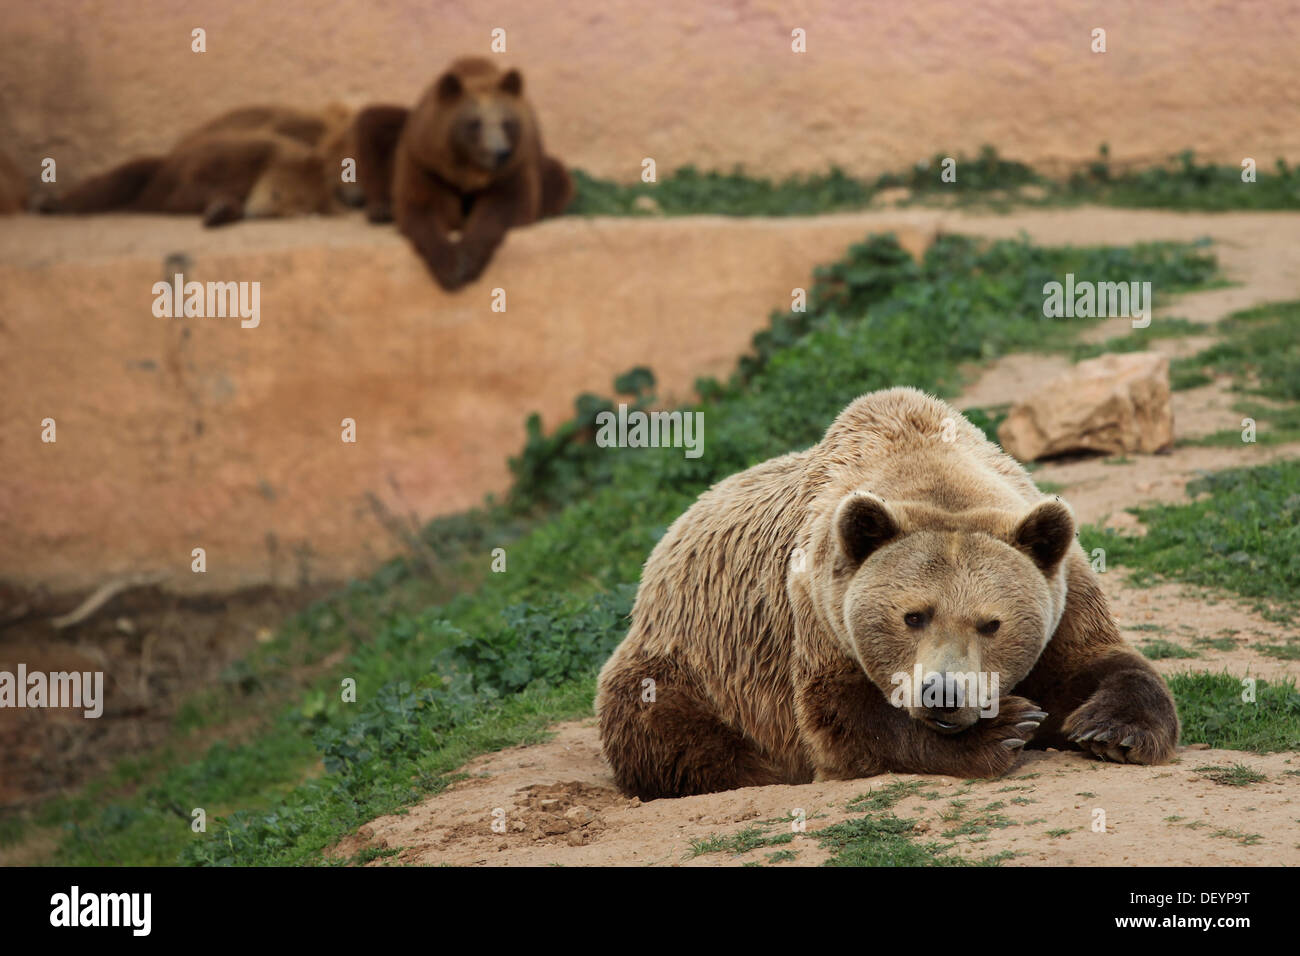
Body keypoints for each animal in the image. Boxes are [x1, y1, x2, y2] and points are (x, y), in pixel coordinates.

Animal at [390, 56, 573, 291]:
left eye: (506, 122)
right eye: (474, 123)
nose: (501, 152)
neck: (470, 171)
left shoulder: (513, 169)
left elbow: (505, 207)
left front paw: (467, 262)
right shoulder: (427, 165)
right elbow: (421, 208)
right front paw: (449, 266)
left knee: (558, 178)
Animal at [595, 387, 1179, 800]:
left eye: (991, 623)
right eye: (913, 616)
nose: (945, 694)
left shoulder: (1062, 587)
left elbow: (1096, 660)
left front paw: (1111, 730)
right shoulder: (819, 613)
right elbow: (843, 719)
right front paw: (1004, 729)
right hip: (688, 668)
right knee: (666, 730)